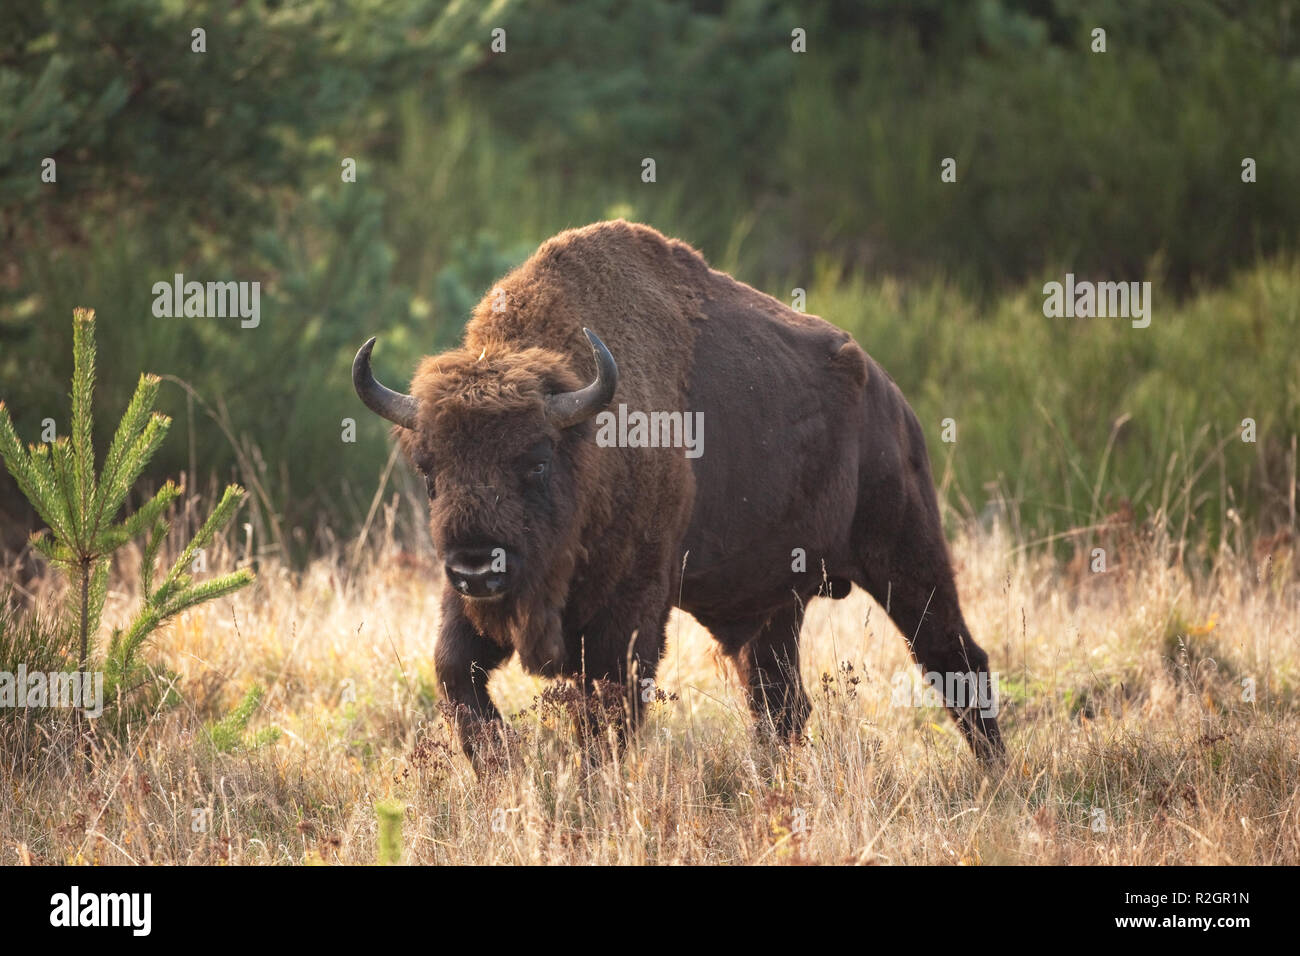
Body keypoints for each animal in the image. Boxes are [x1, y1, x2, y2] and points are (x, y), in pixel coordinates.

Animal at [353, 220, 1003, 763]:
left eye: (535, 461)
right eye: (429, 470)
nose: (475, 568)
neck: (589, 437)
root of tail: (892, 400)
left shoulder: (630, 609)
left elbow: (607, 707)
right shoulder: (465, 607)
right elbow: (454, 670)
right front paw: (500, 765)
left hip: (907, 555)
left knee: (955, 659)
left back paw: (994, 775)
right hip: (781, 602)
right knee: (780, 702)